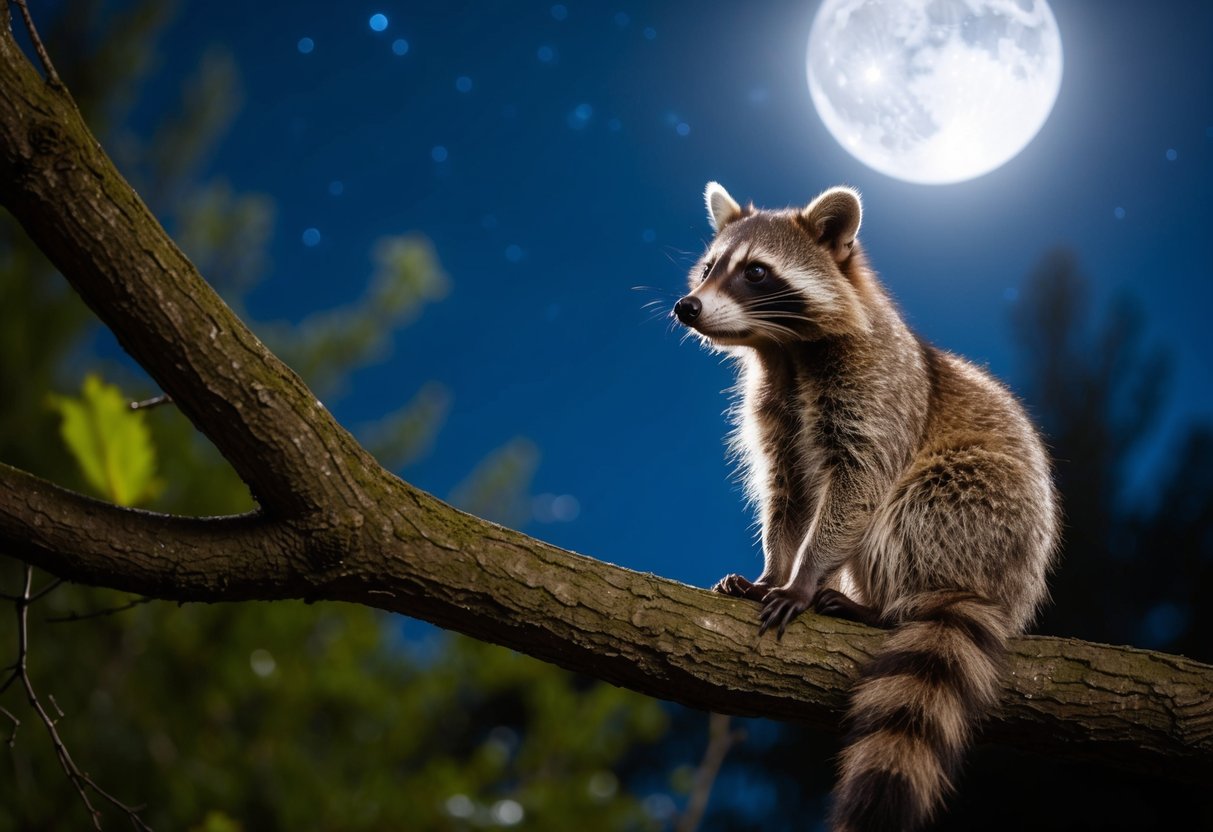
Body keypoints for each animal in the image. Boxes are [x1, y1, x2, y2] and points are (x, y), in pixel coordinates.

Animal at [673, 183, 1059, 831]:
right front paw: (773, 570)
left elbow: (861, 488)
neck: (784, 351)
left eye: (756, 272)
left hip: (983, 511)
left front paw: (802, 577)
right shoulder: (776, 414)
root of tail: (1002, 591)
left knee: (912, 508)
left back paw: (882, 607)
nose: (687, 307)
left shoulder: (876, 388)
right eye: (707, 270)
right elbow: (788, 498)